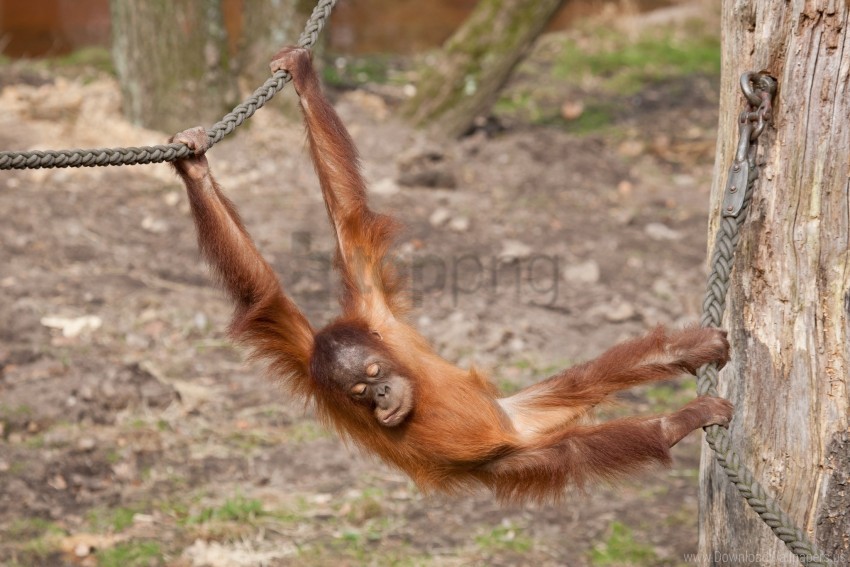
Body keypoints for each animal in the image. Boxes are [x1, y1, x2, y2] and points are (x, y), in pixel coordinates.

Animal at [169, 46, 733, 503]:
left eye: (374, 372)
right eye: (357, 393)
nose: (379, 397)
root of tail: (517, 429)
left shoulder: (373, 311)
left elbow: (342, 228)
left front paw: (301, 78)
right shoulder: (304, 357)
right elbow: (262, 295)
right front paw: (195, 169)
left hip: (514, 413)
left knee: (586, 387)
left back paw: (685, 365)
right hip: (518, 448)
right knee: (576, 438)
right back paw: (675, 415)